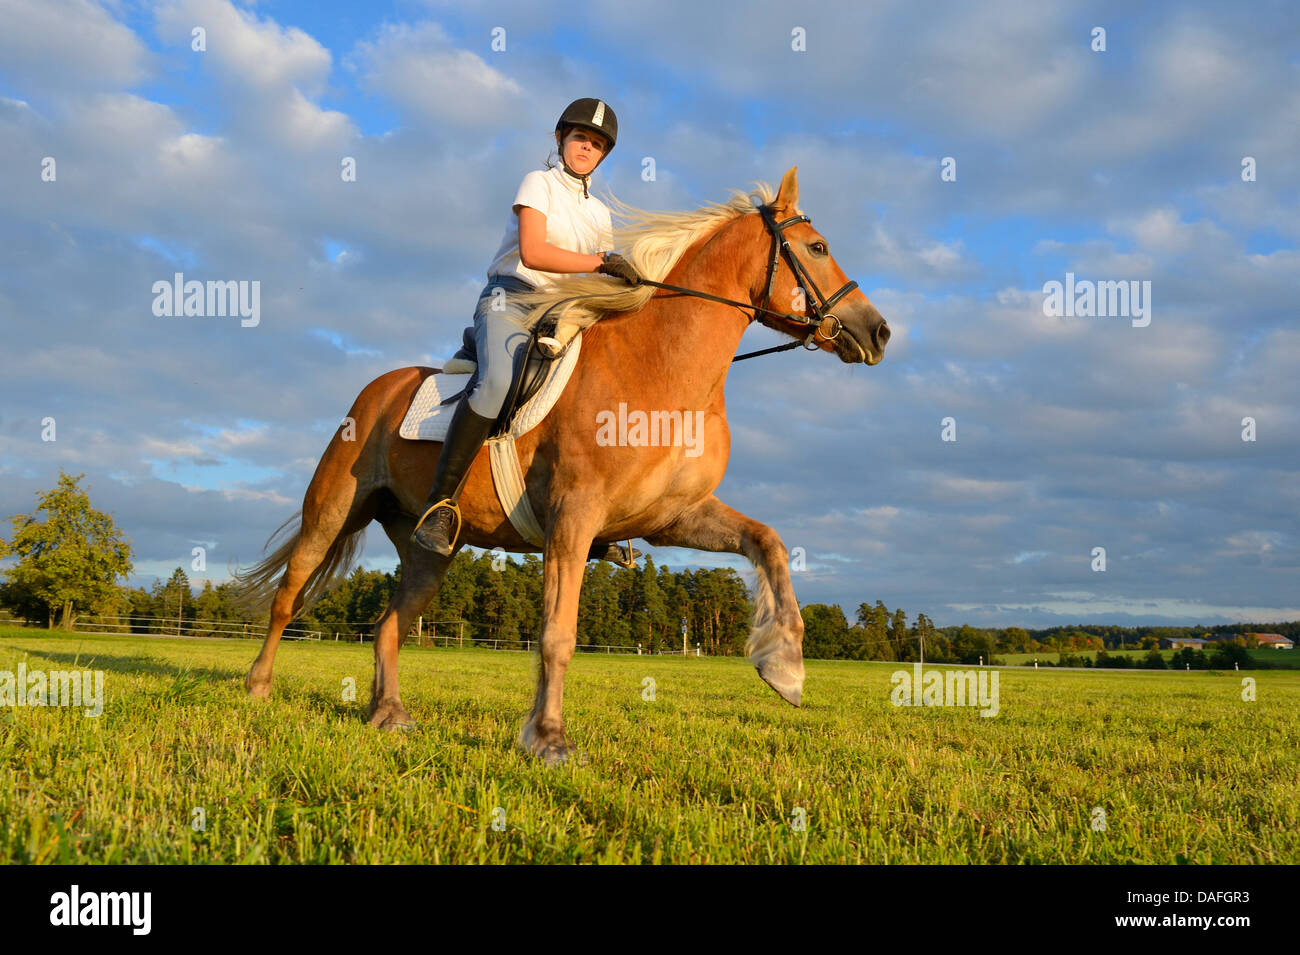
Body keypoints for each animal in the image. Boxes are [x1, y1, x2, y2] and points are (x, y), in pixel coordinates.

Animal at [234, 166, 890, 764]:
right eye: (818, 247)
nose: (879, 331)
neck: (663, 367)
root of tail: (378, 389)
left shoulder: (671, 516)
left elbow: (768, 541)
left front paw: (785, 666)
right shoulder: (574, 517)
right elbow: (557, 633)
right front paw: (548, 738)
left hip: (427, 551)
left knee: (390, 623)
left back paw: (387, 713)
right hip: (333, 511)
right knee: (288, 596)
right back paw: (258, 689)